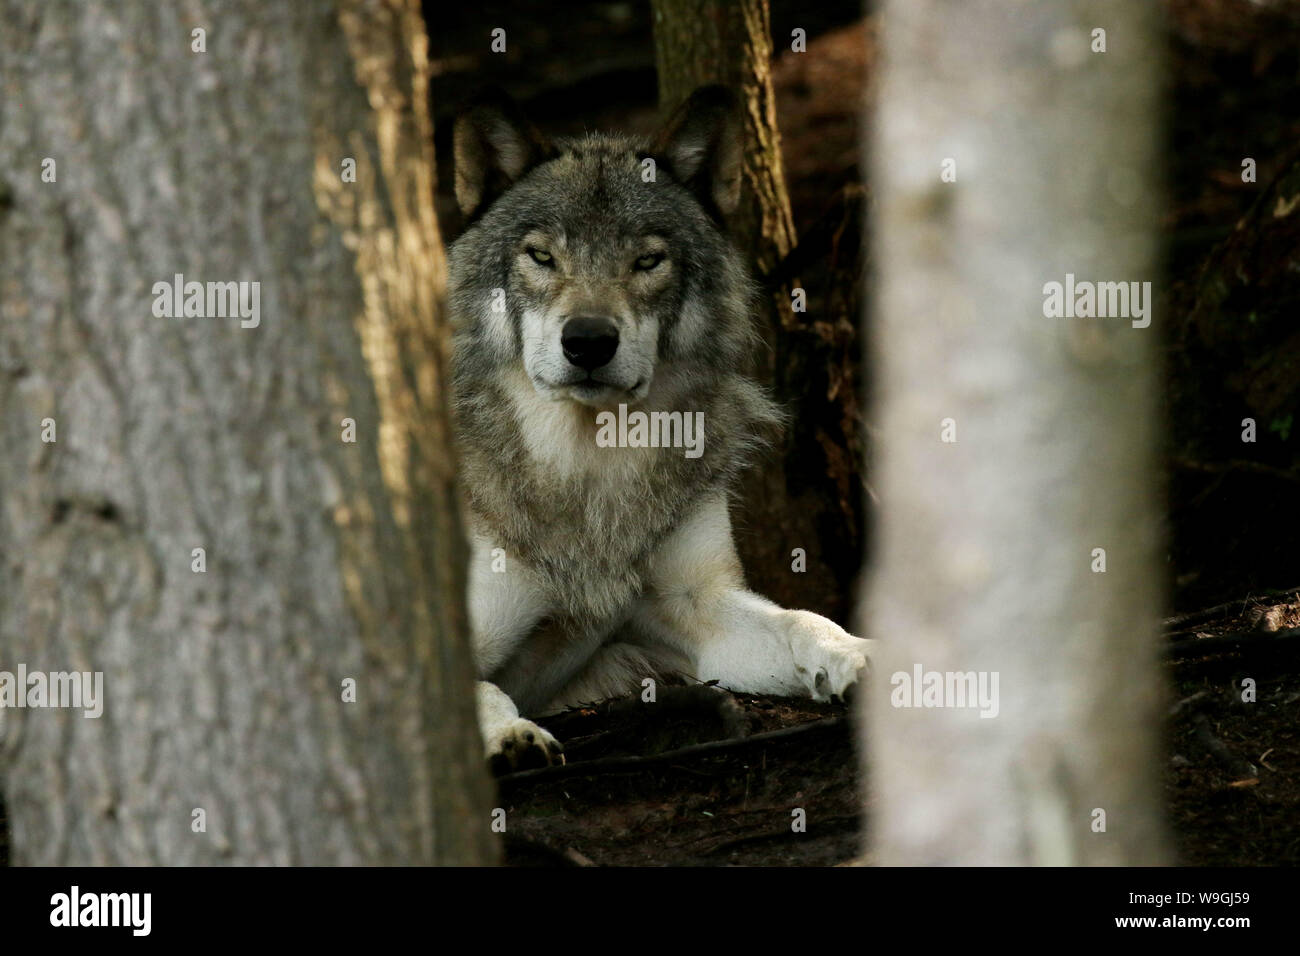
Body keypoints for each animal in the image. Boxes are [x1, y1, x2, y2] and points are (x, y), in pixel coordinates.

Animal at [447, 86, 873, 771]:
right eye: (542, 256)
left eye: (647, 260)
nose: (588, 340)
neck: (590, 469)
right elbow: (482, 690)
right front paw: (513, 736)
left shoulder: (694, 603)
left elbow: (802, 619)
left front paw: (864, 655)